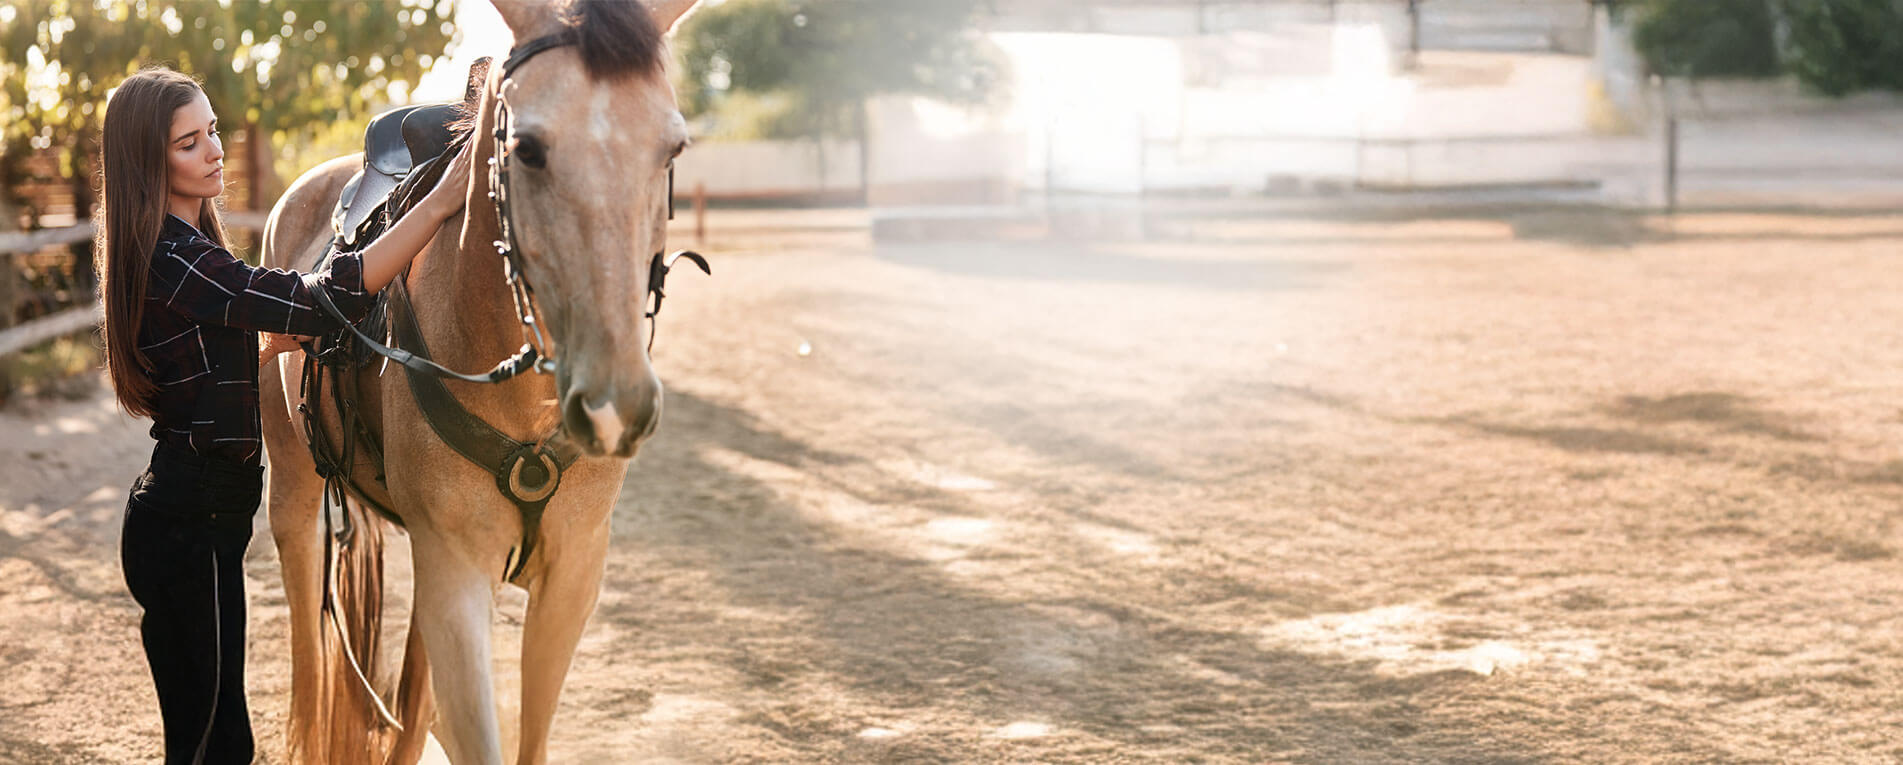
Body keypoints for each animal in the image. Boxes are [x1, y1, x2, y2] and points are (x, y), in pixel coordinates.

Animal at [257, 1, 702, 762]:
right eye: (527, 149)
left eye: (671, 149)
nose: (616, 406)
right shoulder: (458, 580)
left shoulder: (571, 579)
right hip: (295, 497)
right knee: (310, 672)